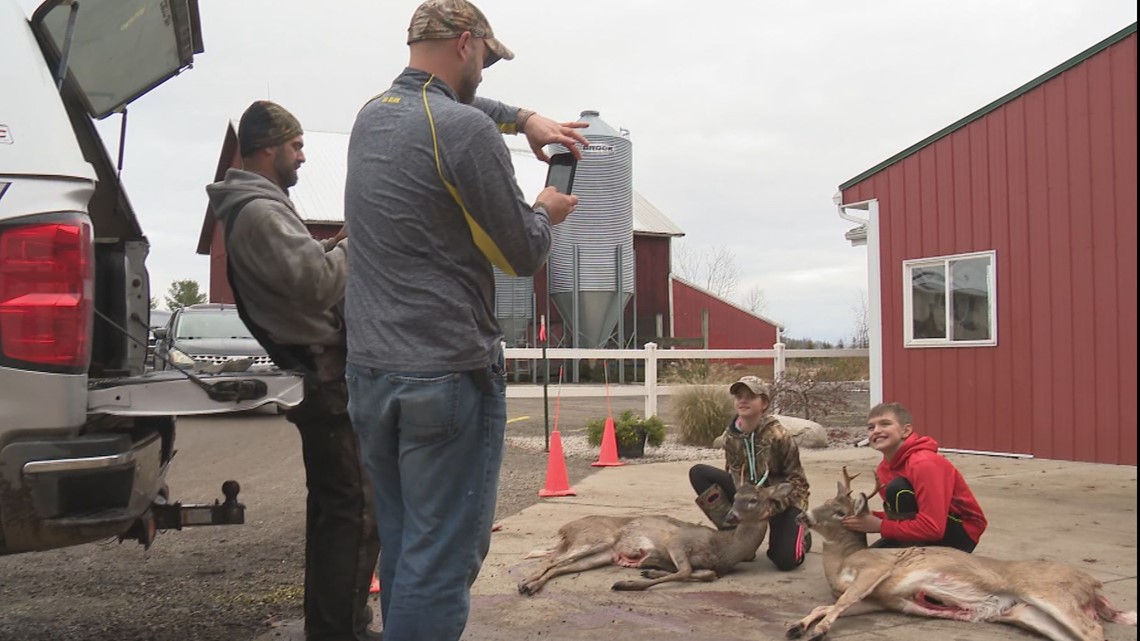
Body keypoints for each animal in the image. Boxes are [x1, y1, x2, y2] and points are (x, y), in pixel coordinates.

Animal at [517, 471, 792, 595]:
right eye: (735, 497)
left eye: (754, 499)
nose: (731, 517)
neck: (724, 548)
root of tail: (565, 529)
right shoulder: (677, 542)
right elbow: (686, 571)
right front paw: (627, 583)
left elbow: (707, 575)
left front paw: (650, 571)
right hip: (595, 539)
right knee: (550, 561)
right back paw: (525, 583)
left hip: (602, 555)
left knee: (558, 566)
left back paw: (531, 586)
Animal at [787, 467, 1136, 641]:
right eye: (823, 502)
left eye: (838, 511)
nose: (803, 516)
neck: (841, 562)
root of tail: (1095, 584)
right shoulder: (878, 598)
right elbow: (826, 604)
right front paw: (797, 626)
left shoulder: (877, 568)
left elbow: (840, 601)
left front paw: (819, 630)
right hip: (1027, 613)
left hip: (1047, 591)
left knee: (1093, 631)